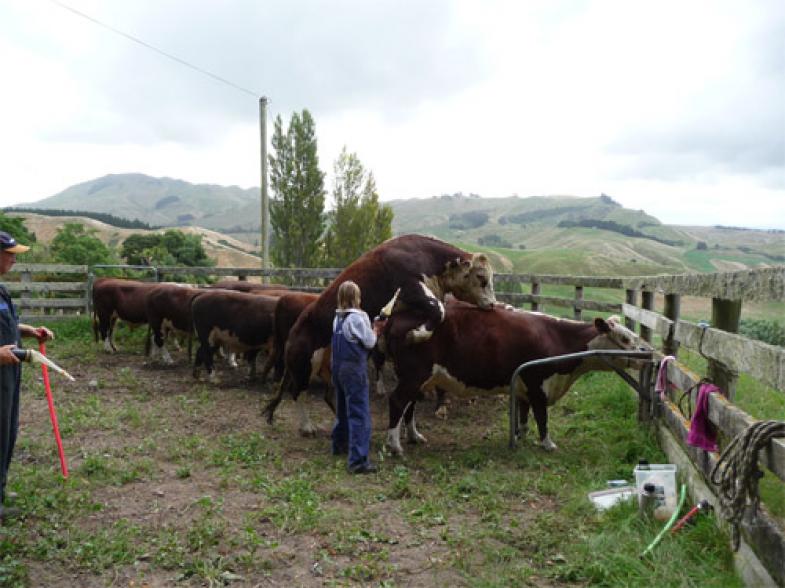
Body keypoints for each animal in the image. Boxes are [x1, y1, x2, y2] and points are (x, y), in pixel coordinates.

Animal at [262, 234, 497, 436]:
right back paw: (307, 426)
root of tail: (295, 330)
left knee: (328, 395)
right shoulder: (411, 286)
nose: (493, 304)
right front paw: (417, 334)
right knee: (297, 392)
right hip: (304, 364)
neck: (427, 257)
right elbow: (438, 310)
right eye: (481, 277)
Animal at [382, 301, 649, 455]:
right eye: (625, 338)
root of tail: (398, 315)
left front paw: (520, 437)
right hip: (413, 375)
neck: (557, 338)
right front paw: (548, 444)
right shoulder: (537, 383)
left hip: (416, 378)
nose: (647, 352)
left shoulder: (523, 388)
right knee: (397, 402)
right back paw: (395, 446)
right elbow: (542, 418)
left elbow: (523, 416)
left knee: (409, 406)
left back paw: (414, 437)